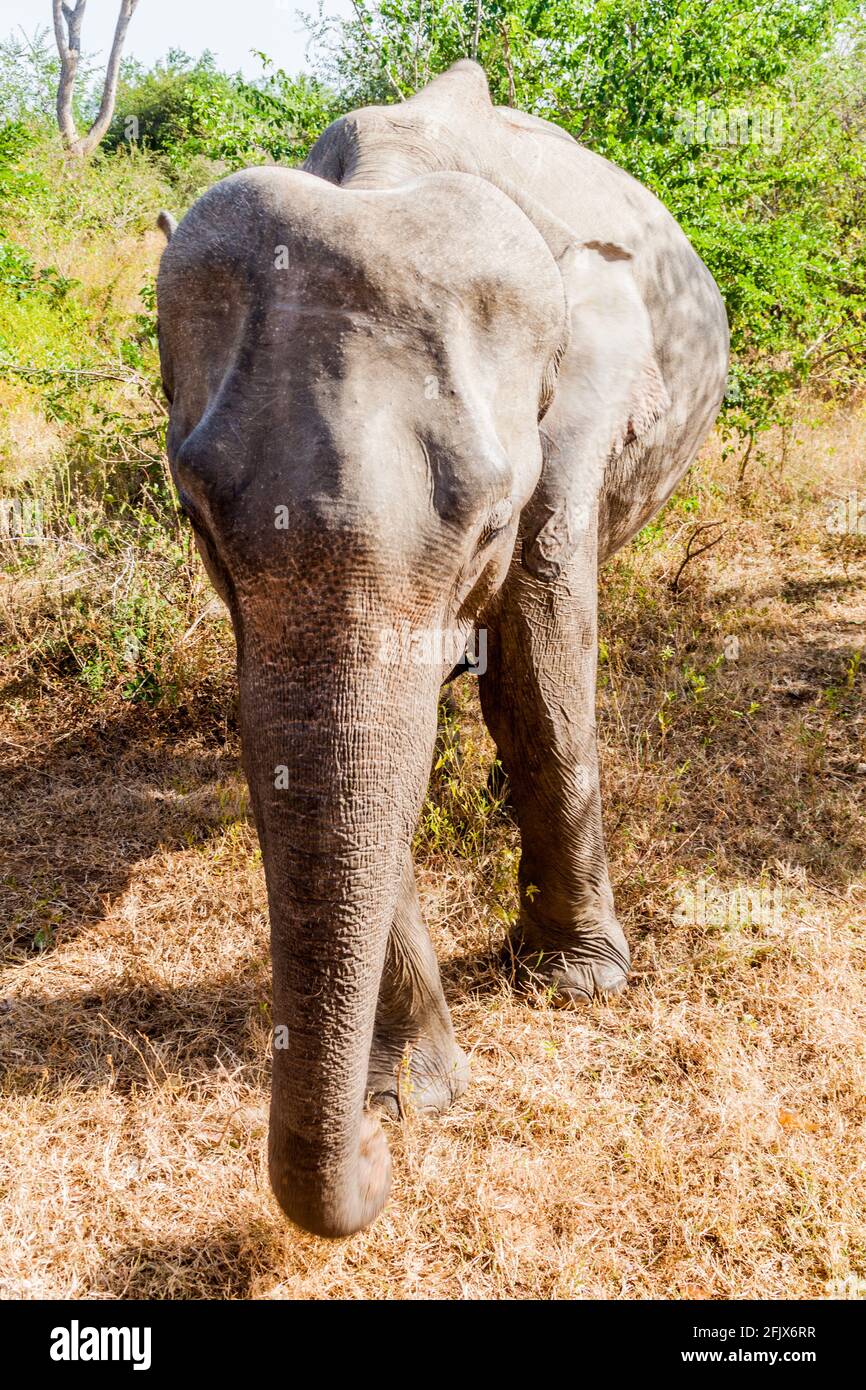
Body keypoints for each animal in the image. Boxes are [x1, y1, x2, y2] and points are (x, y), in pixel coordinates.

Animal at [156, 60, 729, 1239]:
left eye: (489, 519)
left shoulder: (572, 429)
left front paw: (575, 985)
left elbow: (538, 669)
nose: (373, 1160)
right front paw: (409, 1097)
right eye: (195, 513)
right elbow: (321, 743)